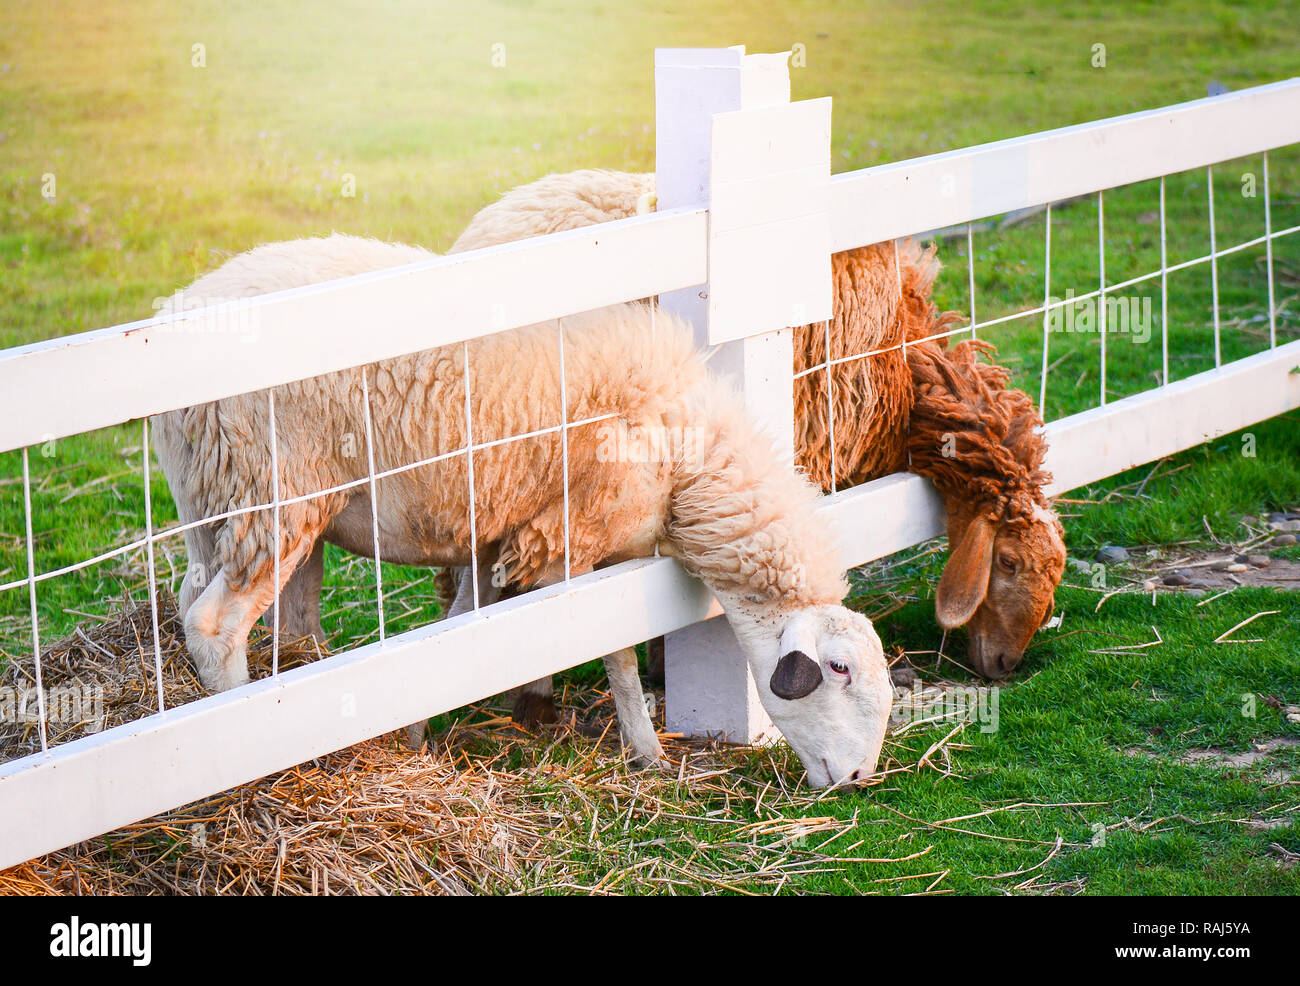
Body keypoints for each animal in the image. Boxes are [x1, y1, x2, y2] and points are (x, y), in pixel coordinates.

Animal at [152, 234, 895, 788]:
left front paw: (418, 735)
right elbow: (614, 651)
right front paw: (646, 750)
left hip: (219, 503)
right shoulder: (569, 536)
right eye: (839, 670)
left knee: (230, 608)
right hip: (272, 494)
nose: (859, 779)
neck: (689, 458)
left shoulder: (501, 536)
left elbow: (459, 628)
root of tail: (176, 314)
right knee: (215, 627)